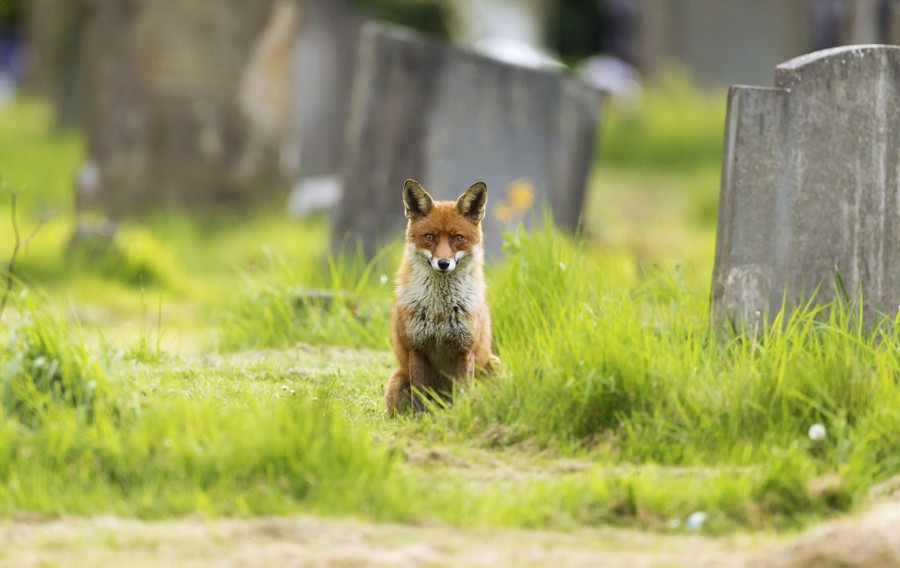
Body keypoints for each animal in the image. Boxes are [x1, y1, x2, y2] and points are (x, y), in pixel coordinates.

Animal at [384, 179, 501, 416]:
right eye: (430, 237)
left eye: (458, 238)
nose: (444, 263)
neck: (440, 311)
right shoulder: (417, 350)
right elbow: (420, 399)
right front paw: (420, 421)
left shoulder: (465, 351)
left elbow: (462, 394)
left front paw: (460, 417)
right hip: (398, 381)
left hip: (494, 367)